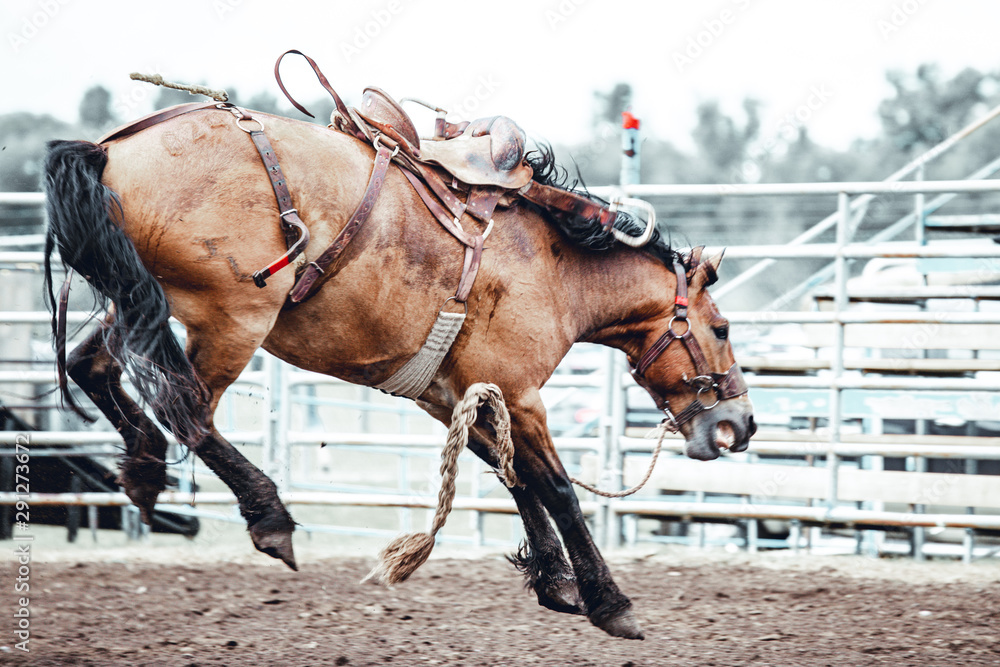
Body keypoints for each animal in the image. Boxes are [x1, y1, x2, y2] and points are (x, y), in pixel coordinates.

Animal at [42, 99, 755, 640]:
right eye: (722, 329)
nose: (740, 423)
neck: (555, 264)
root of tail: (108, 150)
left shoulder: (453, 393)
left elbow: (512, 475)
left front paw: (554, 583)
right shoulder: (520, 392)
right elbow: (554, 487)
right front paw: (610, 604)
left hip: (138, 297)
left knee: (92, 366)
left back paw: (143, 472)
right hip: (231, 318)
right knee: (187, 408)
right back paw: (268, 517)